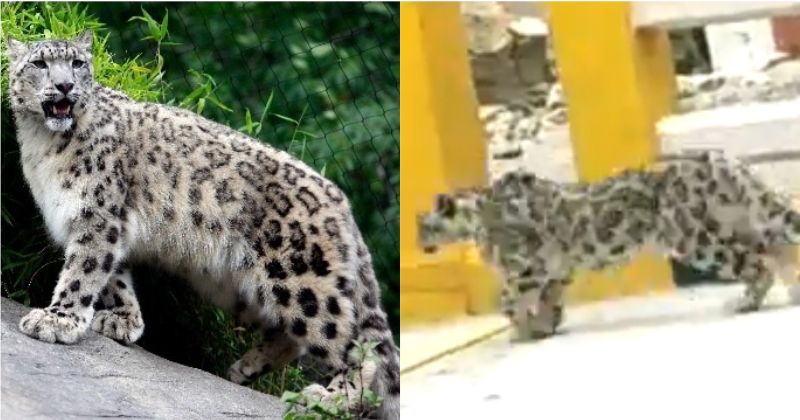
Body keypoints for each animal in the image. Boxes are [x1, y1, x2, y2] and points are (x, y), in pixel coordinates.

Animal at [6, 31, 399, 419]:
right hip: (241, 288)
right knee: (290, 336)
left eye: (77, 63)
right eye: (40, 63)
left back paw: (331, 397)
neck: (44, 143)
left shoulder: (98, 216)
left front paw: (57, 321)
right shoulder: (98, 222)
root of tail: (341, 202)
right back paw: (244, 369)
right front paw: (123, 320)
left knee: (354, 346)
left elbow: (82, 273)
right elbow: (114, 276)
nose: (65, 85)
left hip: (300, 282)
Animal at [418, 150, 800, 341]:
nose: (419, 243)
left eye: (423, 225)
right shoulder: (556, 271)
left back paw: (745, 302)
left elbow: (509, 300)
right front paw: (544, 326)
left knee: (757, 264)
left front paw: (523, 330)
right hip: (742, 223)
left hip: (696, 239)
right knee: (778, 246)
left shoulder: (528, 268)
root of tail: (725, 161)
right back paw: (792, 293)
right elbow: (549, 300)